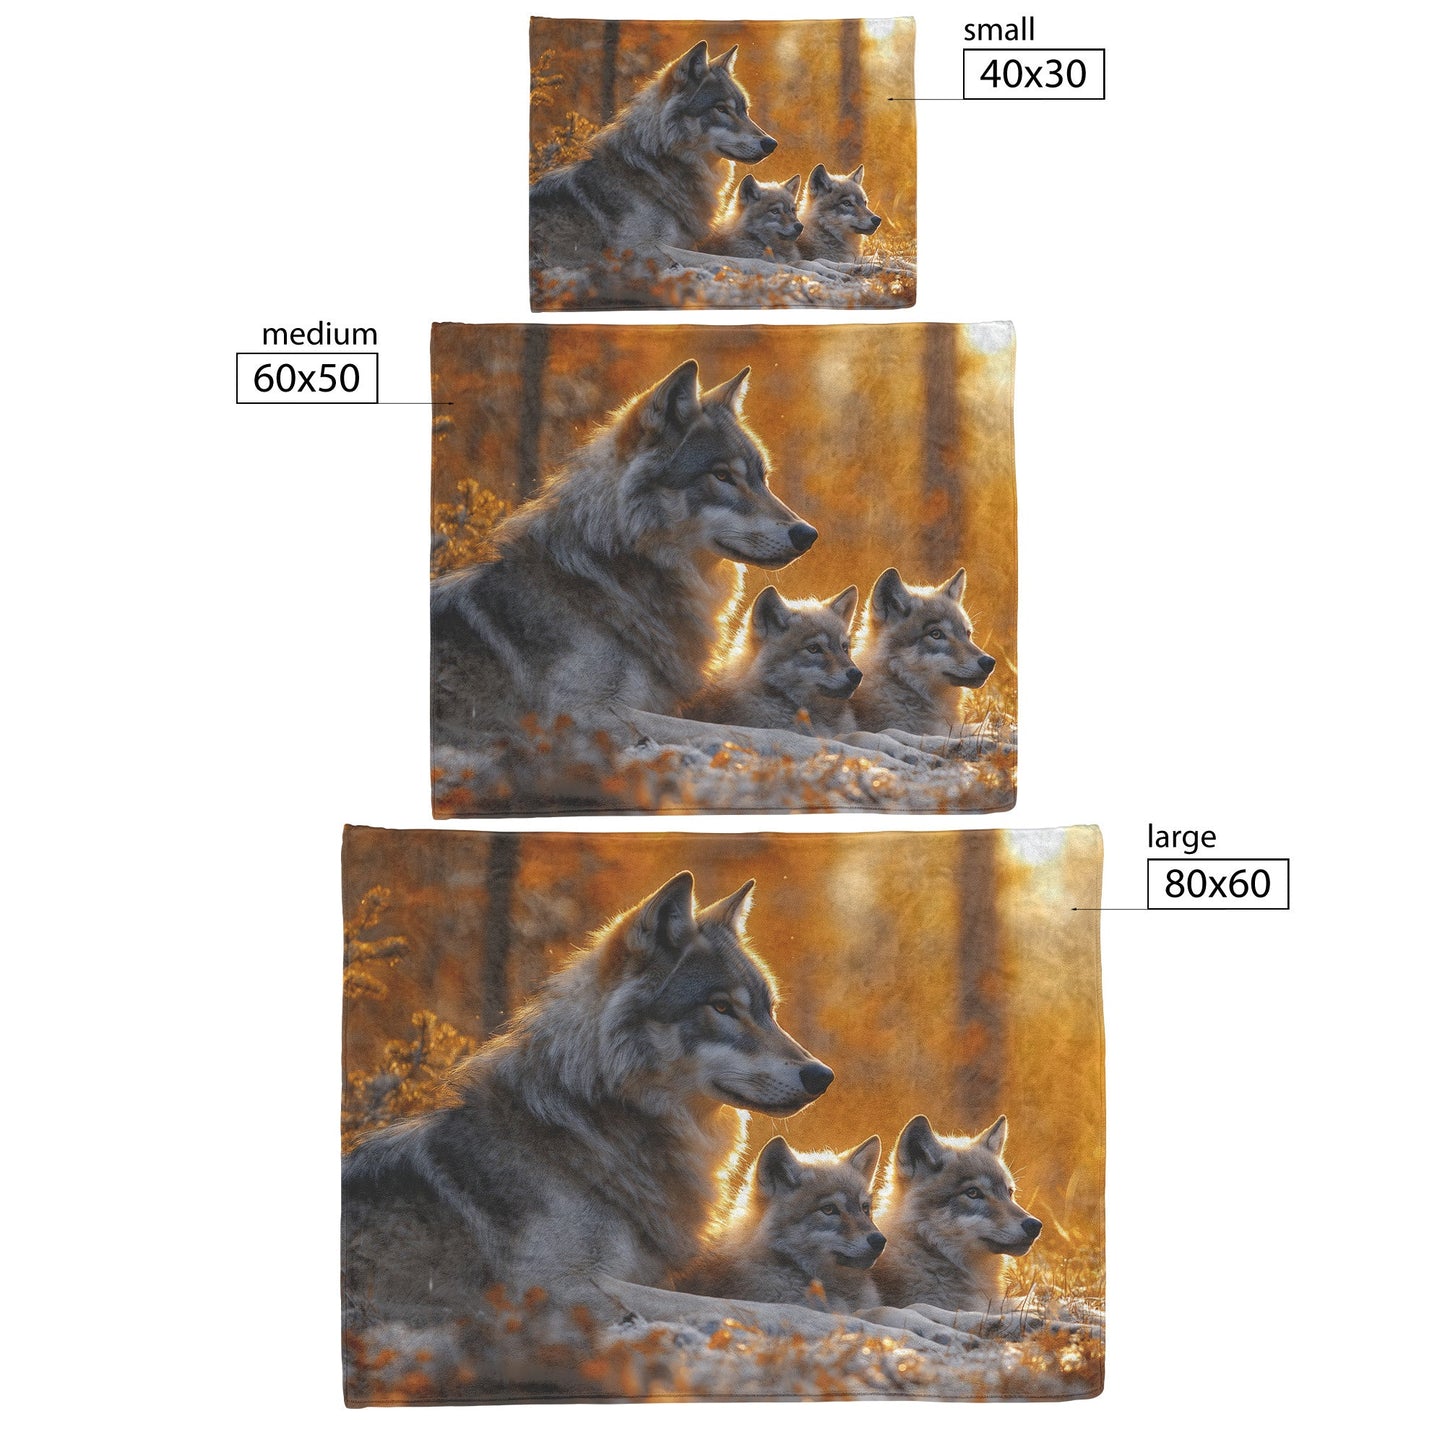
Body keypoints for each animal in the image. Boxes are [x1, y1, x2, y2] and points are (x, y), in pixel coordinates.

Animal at [343, 871, 834, 1324]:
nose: (822, 1076)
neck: (592, 1125)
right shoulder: (559, 1286)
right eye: (721, 1006)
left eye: (768, 1011)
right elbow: (759, 1309)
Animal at [530, 41, 777, 268]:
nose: (771, 143)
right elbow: (734, 260)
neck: (658, 169)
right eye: (721, 109)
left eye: (744, 110)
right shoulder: (640, 249)